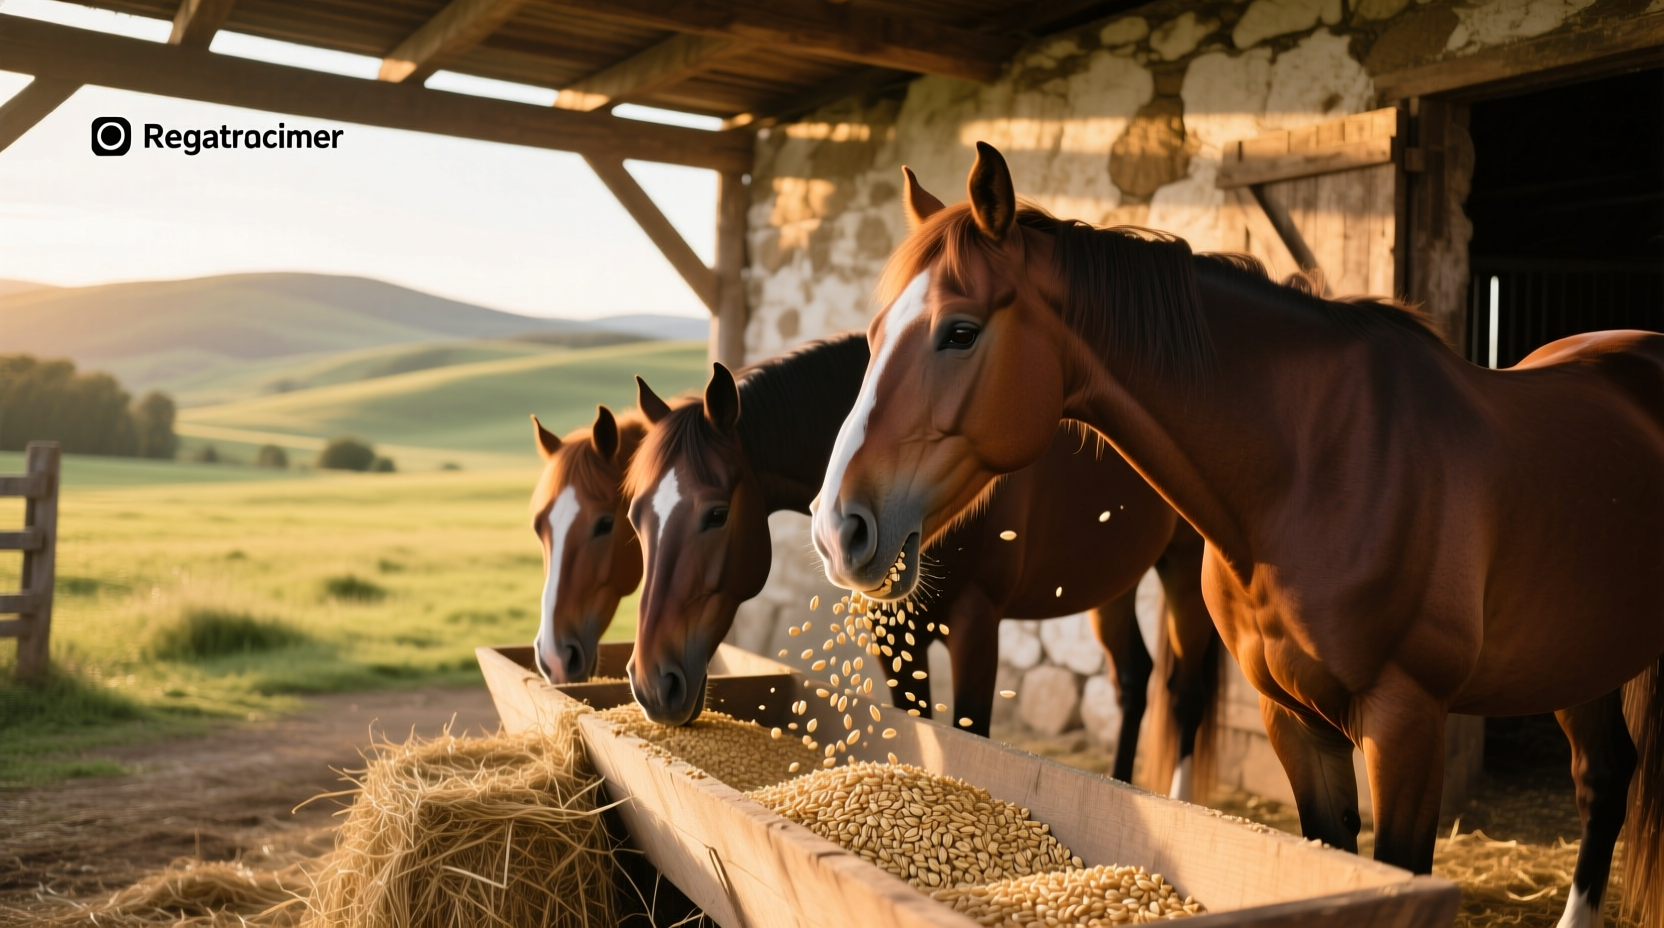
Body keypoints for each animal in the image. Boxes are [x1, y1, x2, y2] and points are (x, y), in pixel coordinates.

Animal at [622, 332, 1224, 797]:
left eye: (716, 513)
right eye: (635, 516)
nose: (652, 684)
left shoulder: (976, 626)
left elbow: (971, 733)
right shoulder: (892, 630)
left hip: (1186, 576)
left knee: (1185, 693)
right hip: (1111, 584)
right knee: (1134, 678)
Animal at [810, 142, 1664, 927]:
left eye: (959, 331)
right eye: (875, 332)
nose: (837, 528)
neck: (1317, 470)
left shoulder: (1406, 724)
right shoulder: (1294, 720)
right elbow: (1336, 852)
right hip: (1578, 660)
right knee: (1603, 776)